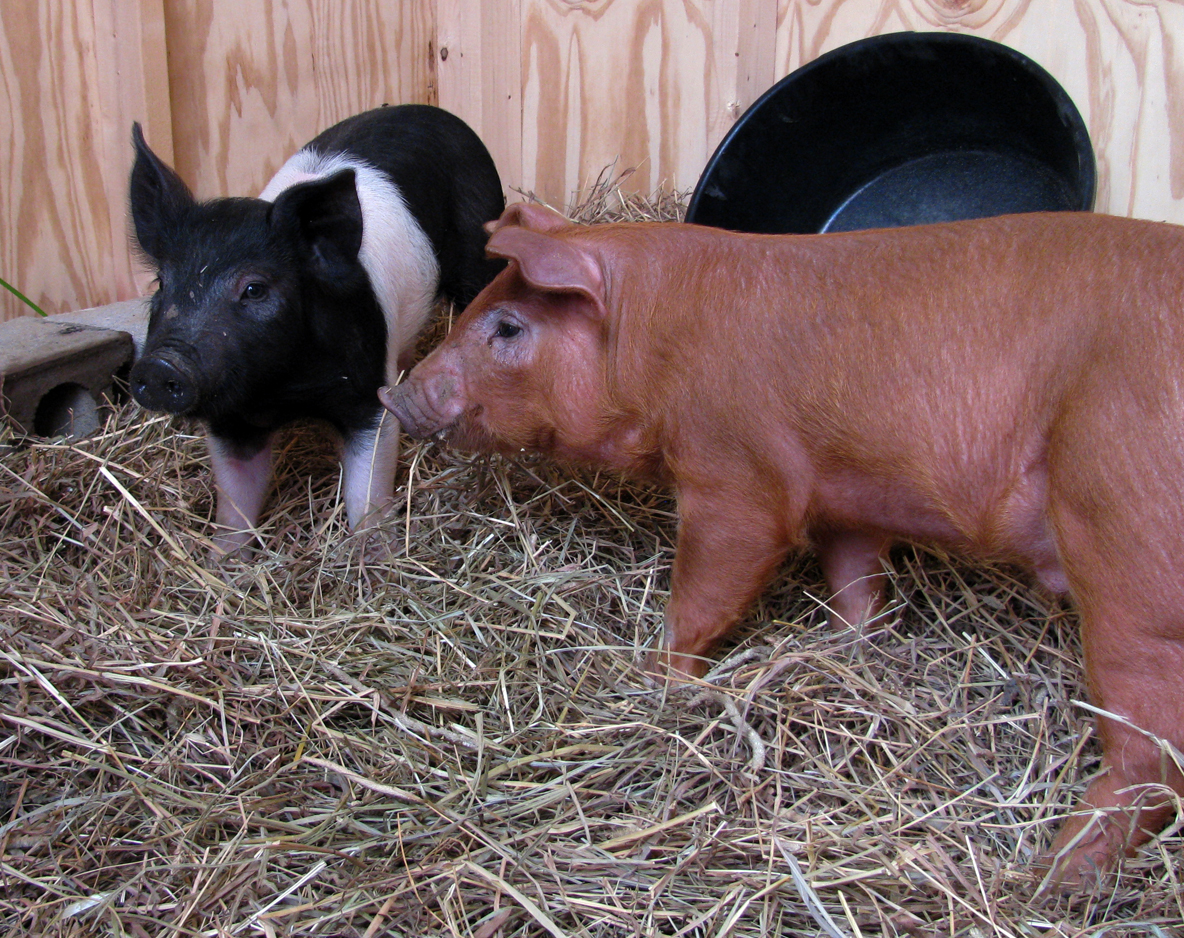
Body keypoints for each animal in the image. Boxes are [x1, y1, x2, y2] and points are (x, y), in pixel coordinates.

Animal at [127, 105, 505, 554]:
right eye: (161, 283)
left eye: (254, 288)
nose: (161, 365)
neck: (281, 390)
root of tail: (439, 111)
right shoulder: (229, 420)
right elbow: (234, 505)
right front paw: (224, 560)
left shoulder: (366, 396)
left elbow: (366, 493)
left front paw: (375, 555)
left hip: (479, 248)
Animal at [380, 201, 1184, 889]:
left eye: (508, 328)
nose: (393, 394)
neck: (659, 337)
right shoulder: (847, 496)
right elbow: (856, 581)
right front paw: (842, 650)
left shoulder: (737, 478)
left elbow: (706, 587)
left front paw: (658, 680)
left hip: (1126, 537)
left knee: (1150, 755)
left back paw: (1050, 874)